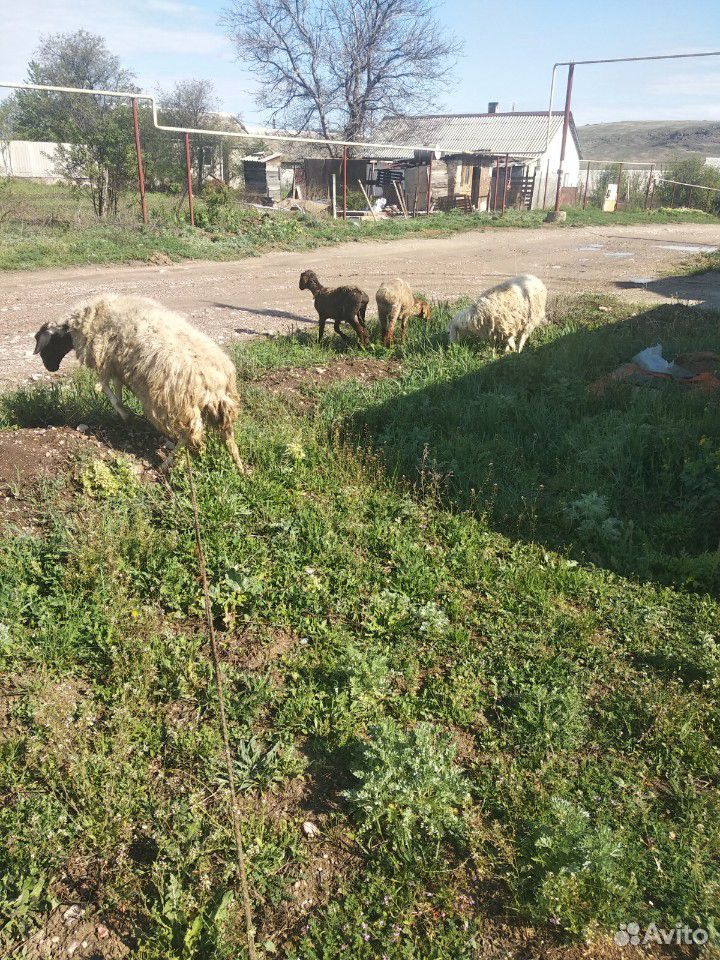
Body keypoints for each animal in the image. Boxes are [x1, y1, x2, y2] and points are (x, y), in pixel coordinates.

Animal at [33, 293, 245, 471]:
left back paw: (164, 465)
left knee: (187, 434)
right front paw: (124, 414)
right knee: (227, 434)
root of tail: (215, 382)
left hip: (173, 404)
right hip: (217, 407)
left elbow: (105, 389)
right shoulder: (117, 364)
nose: (50, 369)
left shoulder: (105, 361)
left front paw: (125, 413)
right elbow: (117, 388)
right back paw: (240, 467)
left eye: (44, 345)